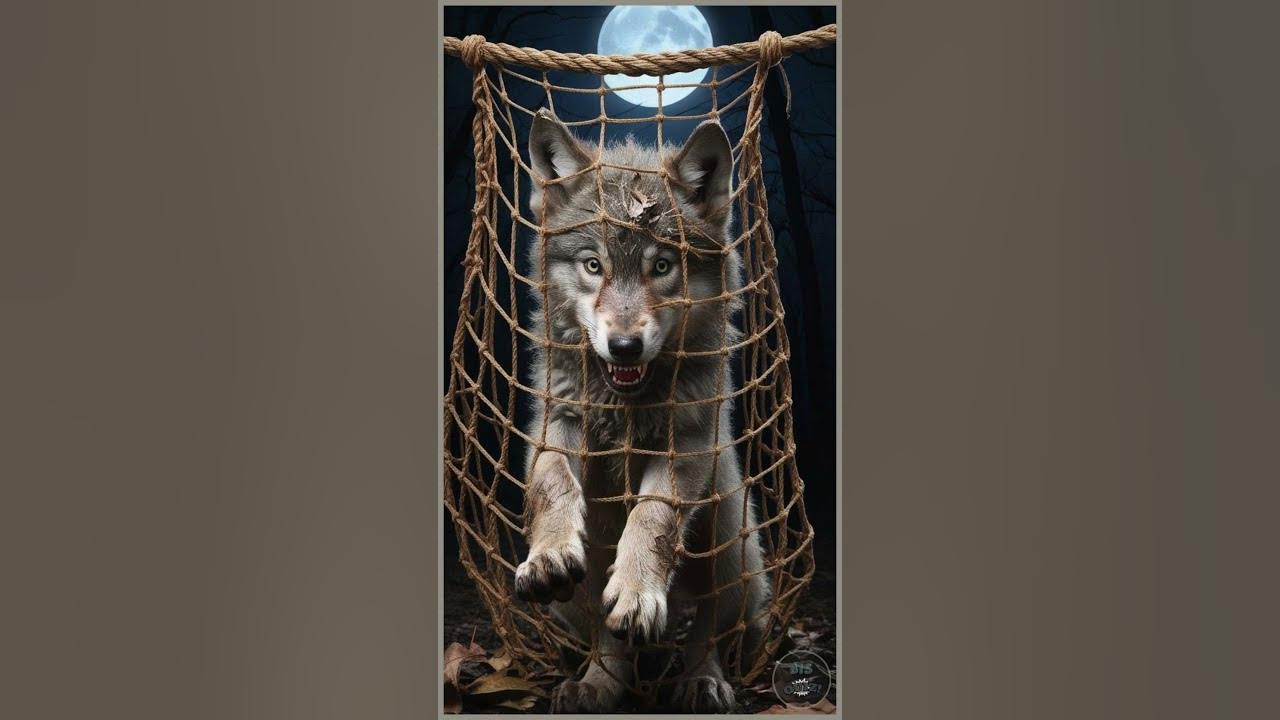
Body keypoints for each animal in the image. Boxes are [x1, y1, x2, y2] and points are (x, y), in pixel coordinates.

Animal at [515, 108, 770, 714]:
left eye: (662, 266)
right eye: (593, 265)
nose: (625, 346)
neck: (626, 407)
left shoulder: (690, 442)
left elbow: (654, 516)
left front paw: (637, 590)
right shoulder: (559, 422)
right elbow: (553, 481)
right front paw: (549, 552)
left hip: (731, 535)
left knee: (709, 626)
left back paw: (702, 680)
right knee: (606, 636)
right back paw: (596, 685)